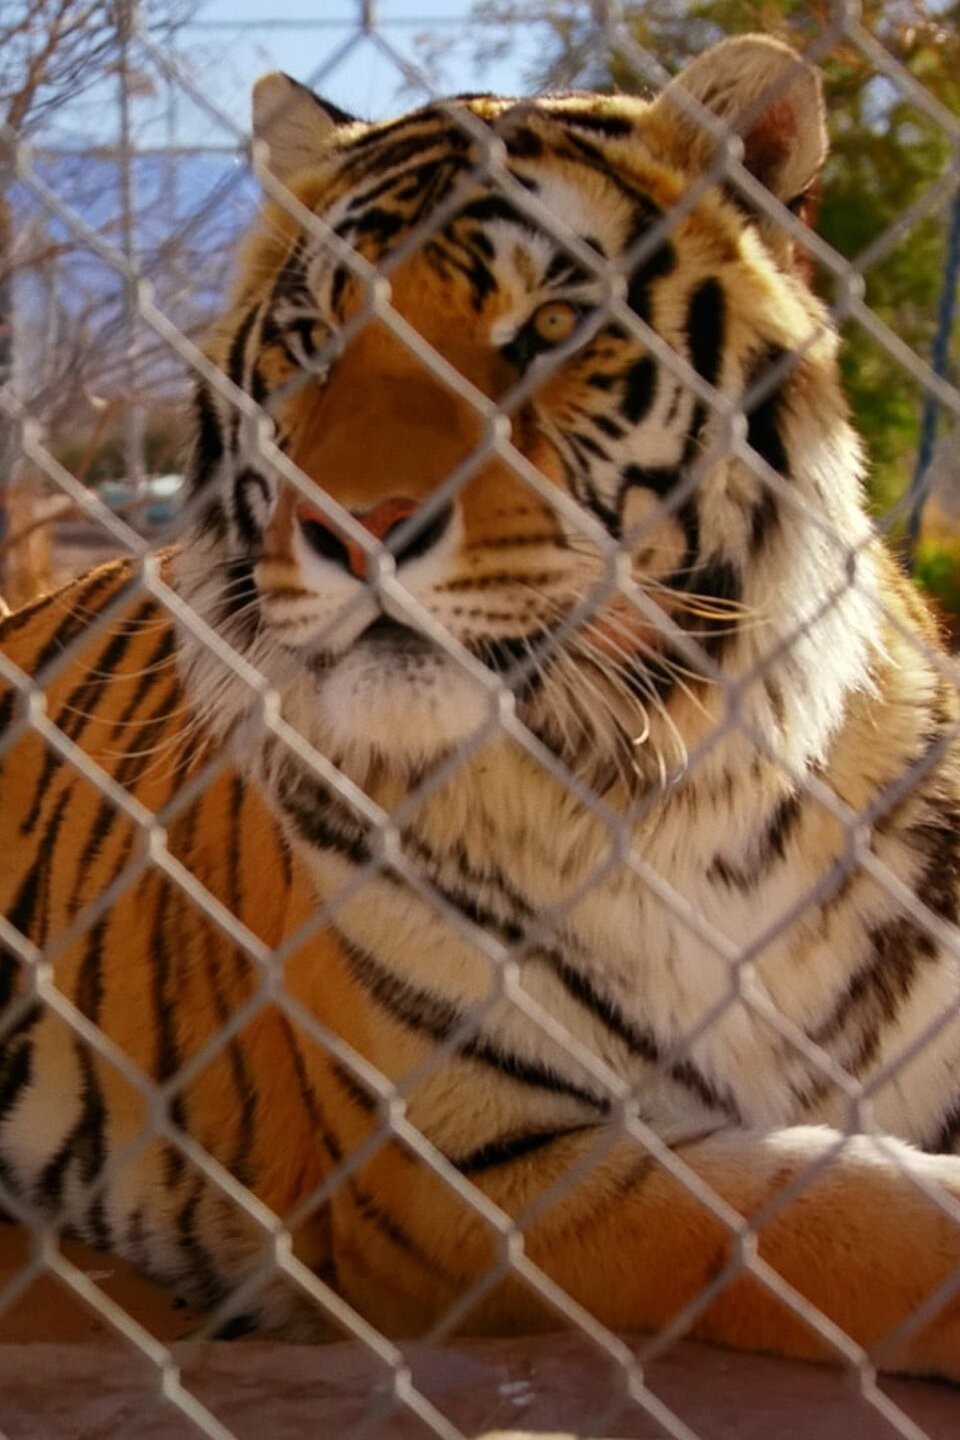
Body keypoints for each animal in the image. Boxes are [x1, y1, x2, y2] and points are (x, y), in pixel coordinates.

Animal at [3, 32, 960, 1382]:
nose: (356, 526)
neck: (675, 789)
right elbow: (844, 1219)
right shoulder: (471, 1173)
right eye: (314, 338)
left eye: (552, 326)